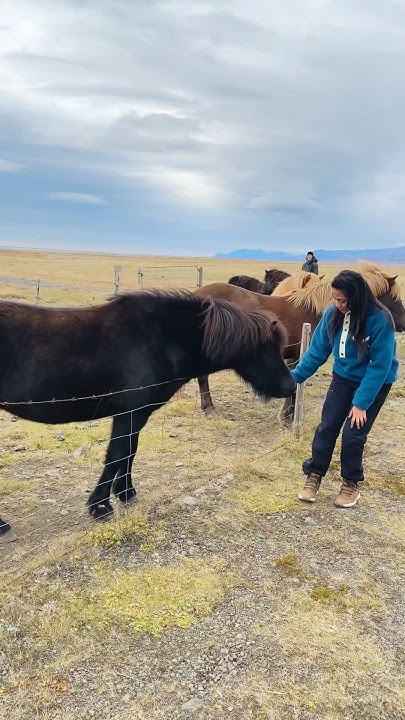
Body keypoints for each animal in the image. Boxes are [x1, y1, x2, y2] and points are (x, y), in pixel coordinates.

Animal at [0, 290, 296, 536]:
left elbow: (129, 452)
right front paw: (100, 507)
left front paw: (126, 493)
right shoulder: (129, 414)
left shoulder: (137, 415)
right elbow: (116, 455)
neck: (162, 340)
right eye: (267, 348)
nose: (290, 385)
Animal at [194, 263, 405, 421]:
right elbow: (295, 386)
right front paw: (287, 417)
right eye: (395, 298)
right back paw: (209, 408)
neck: (314, 311)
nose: (403, 323)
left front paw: (288, 414)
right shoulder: (298, 355)